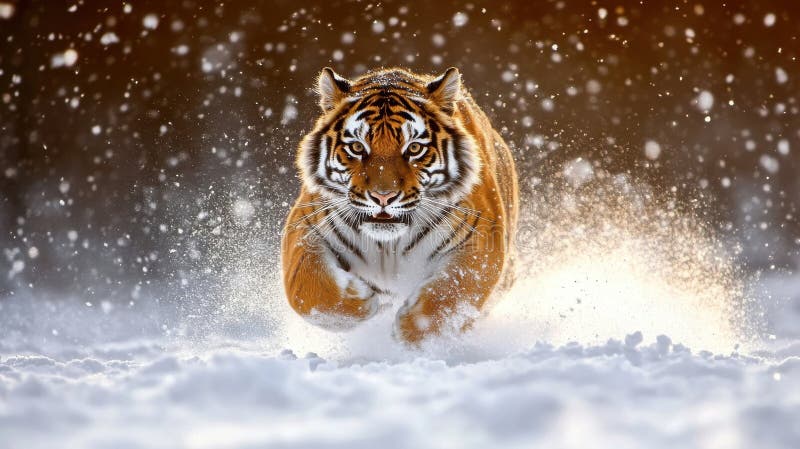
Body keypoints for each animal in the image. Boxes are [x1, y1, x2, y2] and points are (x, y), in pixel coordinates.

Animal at [281, 66, 518, 346]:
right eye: (357, 147)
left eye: (414, 148)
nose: (383, 197)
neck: (388, 245)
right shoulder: (306, 227)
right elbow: (307, 290)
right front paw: (360, 298)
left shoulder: (481, 241)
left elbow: (452, 293)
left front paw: (412, 332)